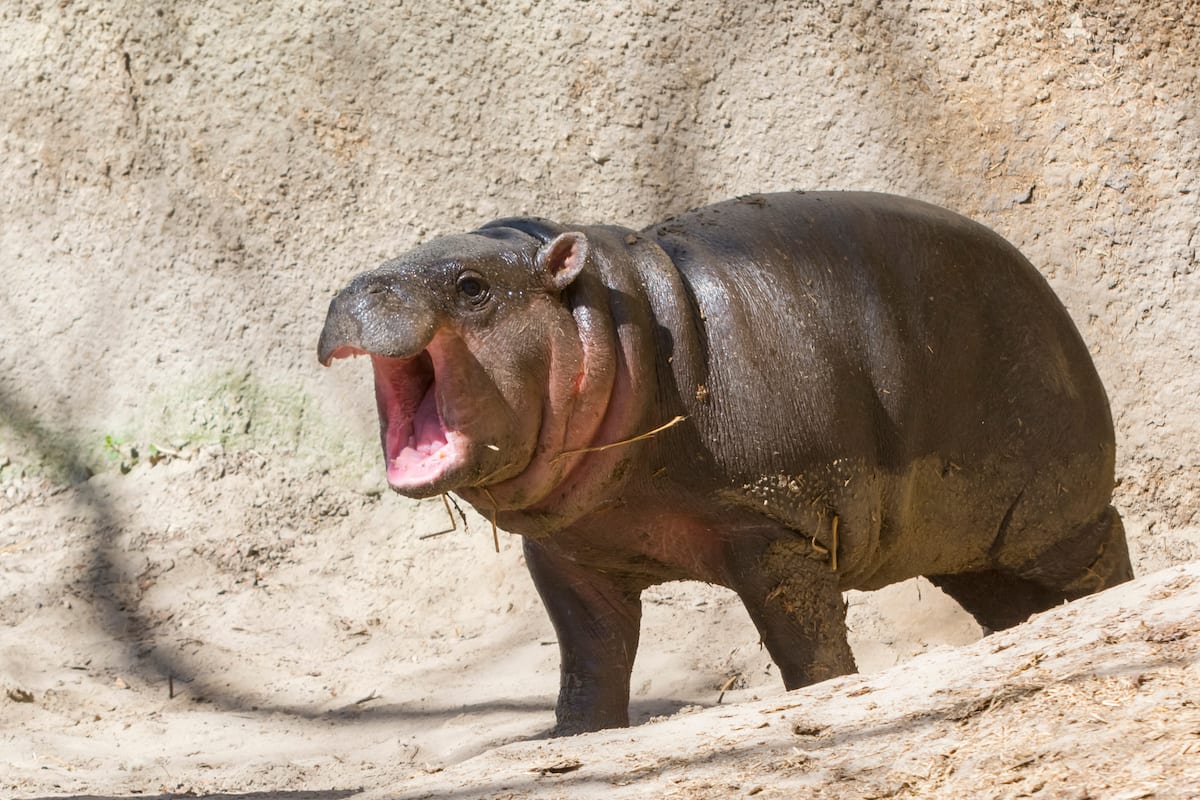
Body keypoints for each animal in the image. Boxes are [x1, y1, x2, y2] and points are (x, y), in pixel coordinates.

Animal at [318, 191, 1131, 735]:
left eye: (471, 286)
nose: (354, 291)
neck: (617, 328)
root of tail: (1044, 288)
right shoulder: (567, 553)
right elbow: (591, 655)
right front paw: (575, 735)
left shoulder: (773, 527)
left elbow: (802, 635)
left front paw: (821, 697)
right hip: (965, 539)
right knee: (1004, 595)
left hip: (1046, 513)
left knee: (1102, 547)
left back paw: (1108, 602)